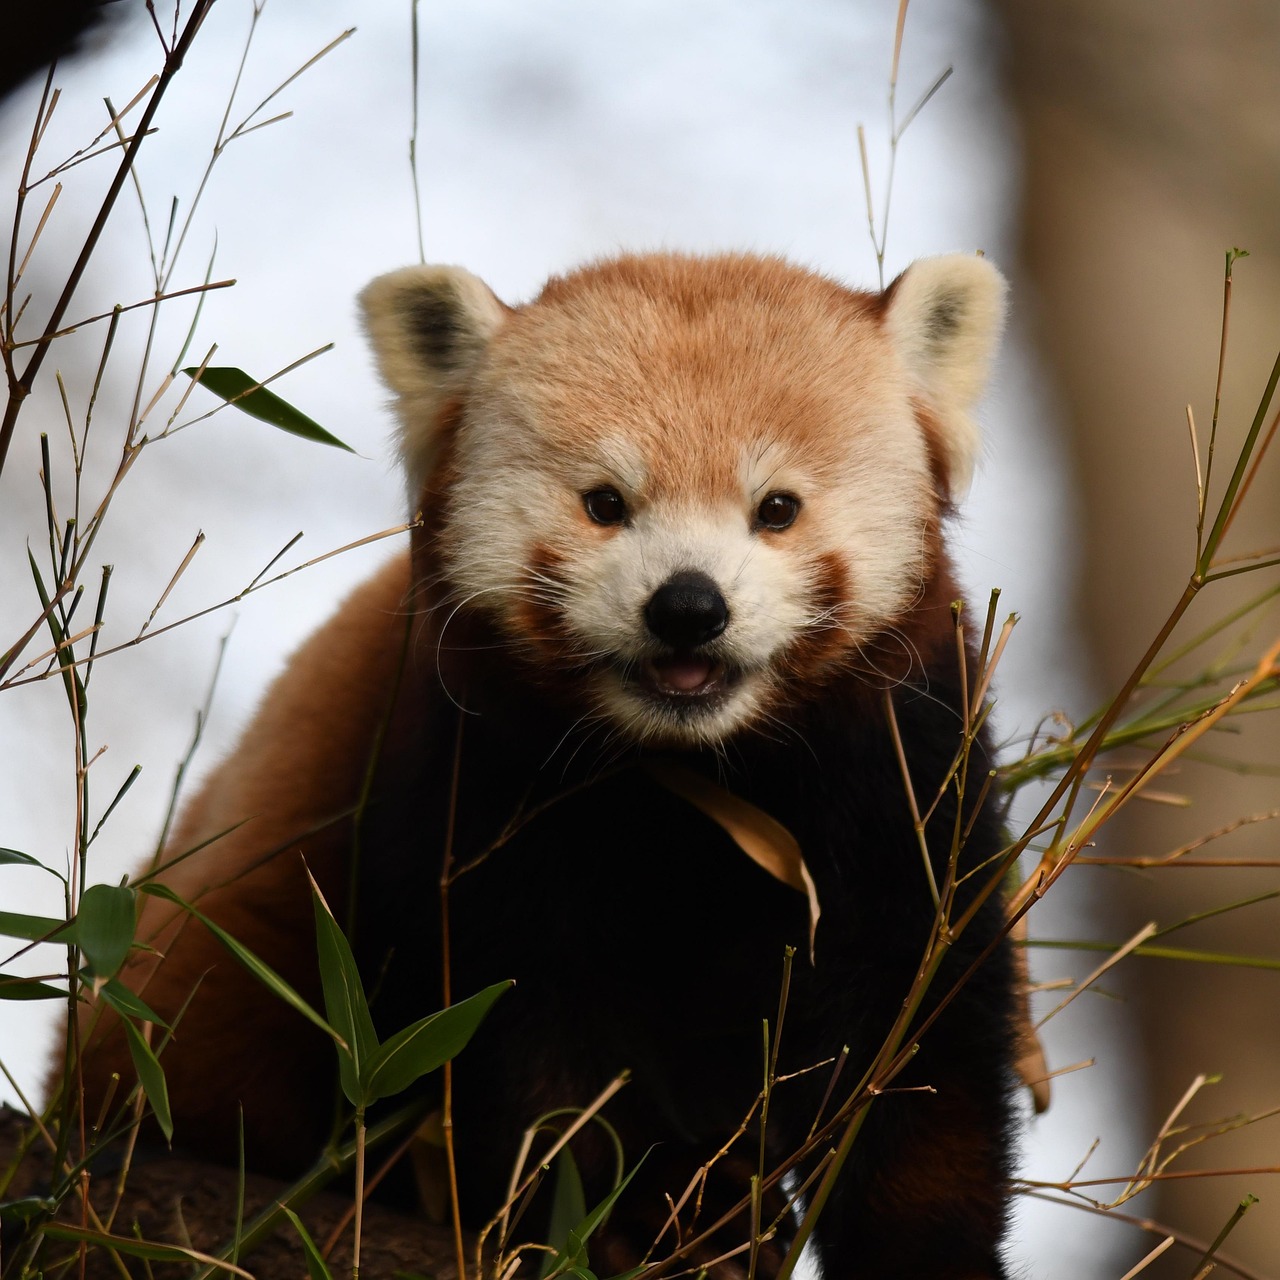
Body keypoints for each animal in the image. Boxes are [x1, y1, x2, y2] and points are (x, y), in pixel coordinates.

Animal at [75, 251, 1020, 1278]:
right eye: (606, 503)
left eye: (777, 510)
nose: (688, 607)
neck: (701, 781)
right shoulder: (478, 792)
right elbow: (528, 1037)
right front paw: (614, 1215)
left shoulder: (901, 777)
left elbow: (917, 1035)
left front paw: (927, 1246)